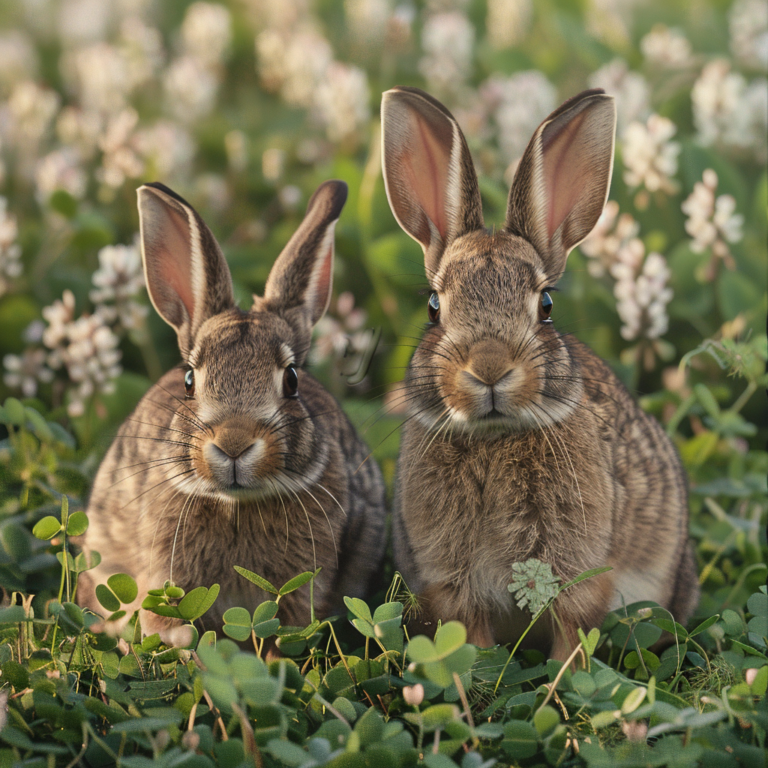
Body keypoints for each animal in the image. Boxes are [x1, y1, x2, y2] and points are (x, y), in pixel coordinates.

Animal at [380, 86, 699, 662]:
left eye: (546, 306)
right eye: (434, 308)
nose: (488, 369)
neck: (494, 436)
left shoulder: (577, 568)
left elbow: (573, 630)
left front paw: (559, 675)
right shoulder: (450, 581)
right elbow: (471, 636)